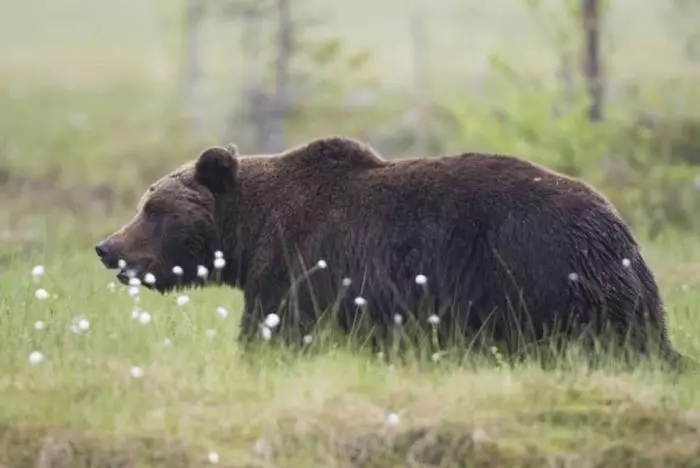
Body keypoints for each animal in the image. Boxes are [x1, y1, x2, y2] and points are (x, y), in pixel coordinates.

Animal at [95, 135, 692, 370]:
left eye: (153, 207)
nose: (107, 248)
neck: (252, 231)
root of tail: (620, 230)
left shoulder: (301, 267)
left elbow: (276, 330)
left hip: (539, 271)